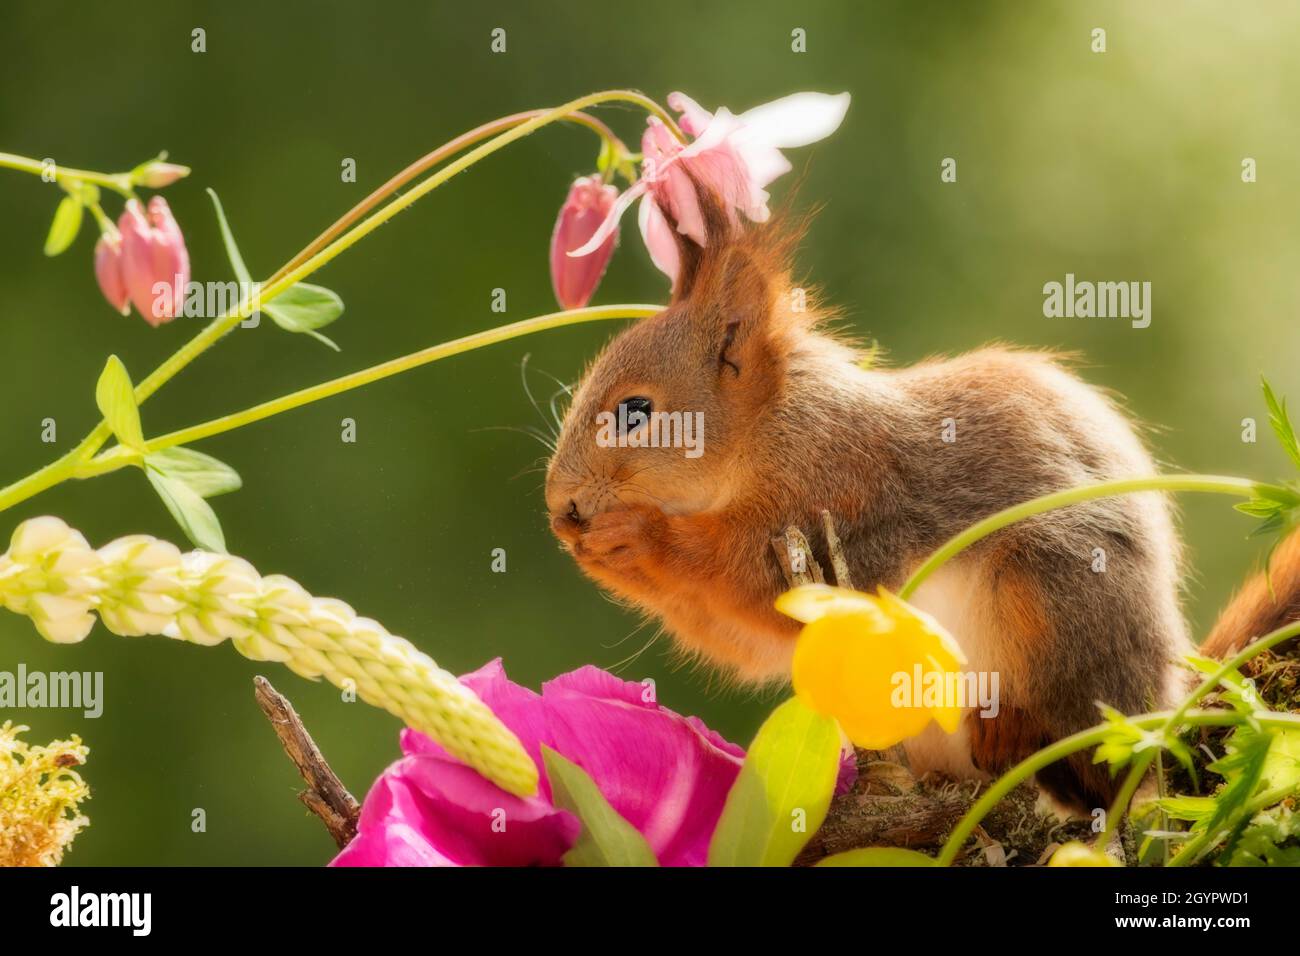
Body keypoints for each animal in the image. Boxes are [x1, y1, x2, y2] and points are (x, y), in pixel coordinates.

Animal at [544, 186, 1299, 812]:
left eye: (636, 411)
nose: (560, 504)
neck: (771, 433)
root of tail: (1164, 715)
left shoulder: (844, 508)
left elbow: (749, 589)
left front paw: (636, 536)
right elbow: (748, 641)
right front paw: (593, 550)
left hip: (1053, 597)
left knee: (1091, 763)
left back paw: (1015, 734)